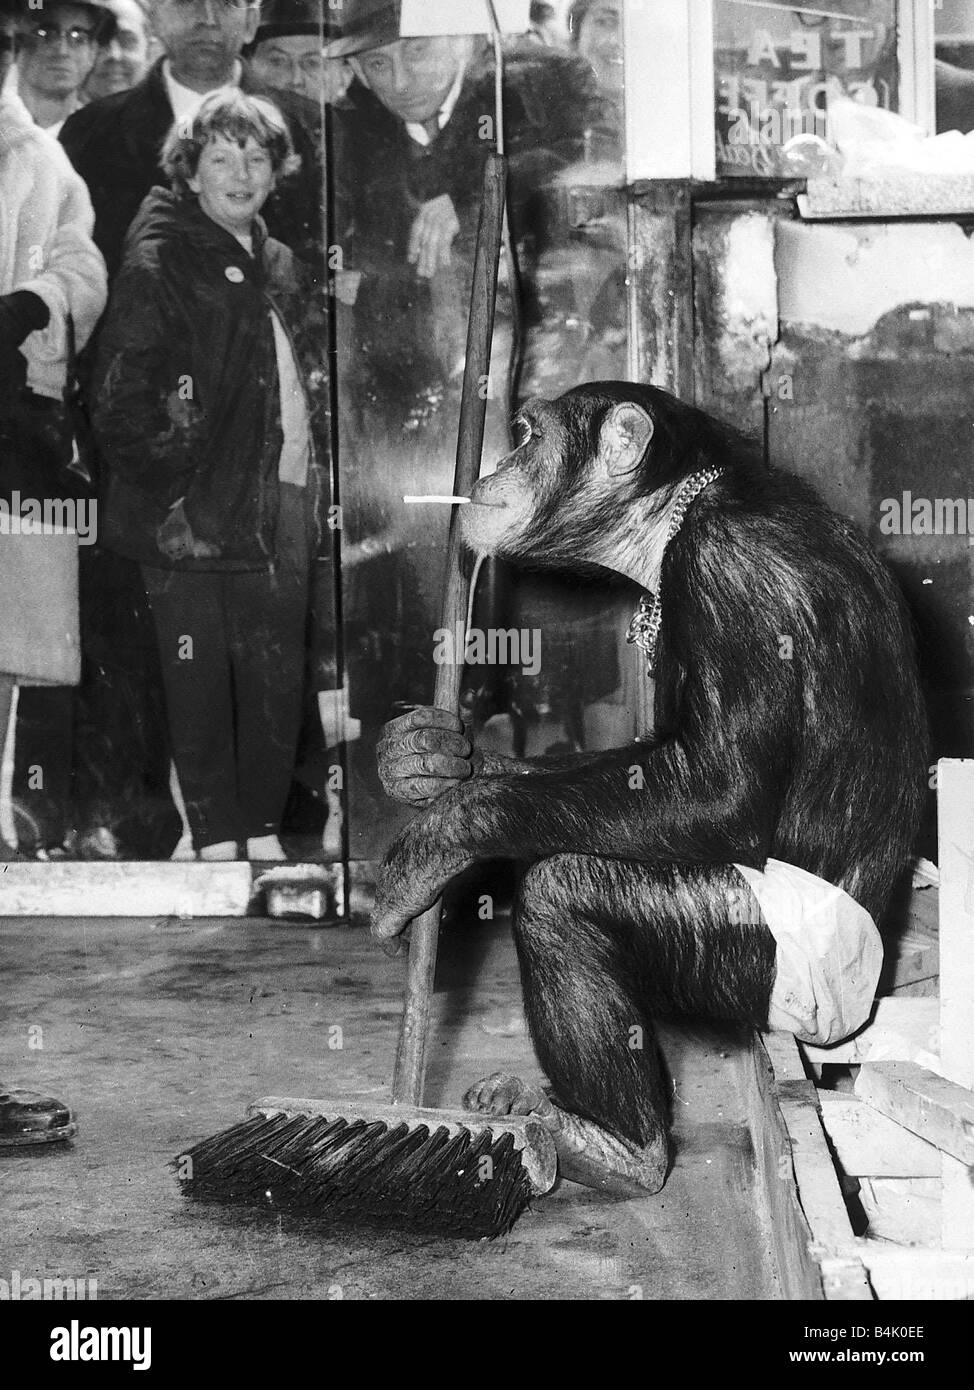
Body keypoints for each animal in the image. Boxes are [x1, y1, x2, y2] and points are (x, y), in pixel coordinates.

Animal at [372, 381, 927, 1194]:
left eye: (525, 435)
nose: (491, 467)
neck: (678, 511)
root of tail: (862, 989)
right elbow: (644, 764)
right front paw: (432, 761)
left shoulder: (725, 569)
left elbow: (716, 790)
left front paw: (444, 836)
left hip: (778, 965)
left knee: (565, 892)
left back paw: (616, 1148)